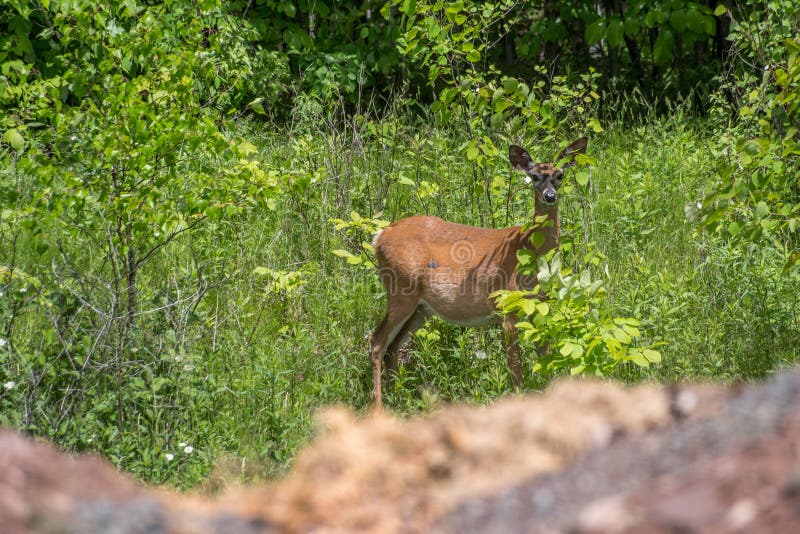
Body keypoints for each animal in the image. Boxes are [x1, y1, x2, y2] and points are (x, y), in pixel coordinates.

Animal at [369, 137, 588, 410]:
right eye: (534, 176)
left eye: (560, 175)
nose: (550, 196)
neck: (530, 249)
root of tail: (380, 236)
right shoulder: (506, 308)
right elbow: (515, 368)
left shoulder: (541, 308)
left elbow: (544, 360)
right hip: (399, 290)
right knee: (377, 342)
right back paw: (379, 408)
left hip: (421, 307)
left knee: (393, 348)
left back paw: (400, 401)